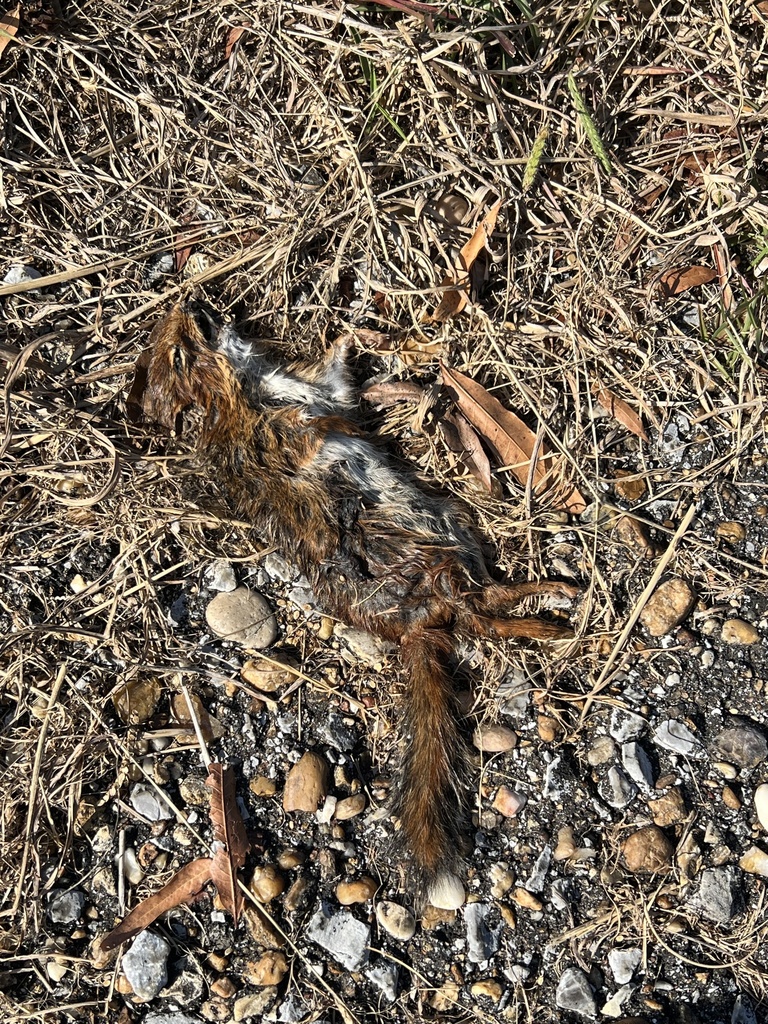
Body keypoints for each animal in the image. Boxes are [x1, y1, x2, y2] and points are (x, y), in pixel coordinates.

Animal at [142, 302, 578, 908]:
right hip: (436, 557)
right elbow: (323, 418)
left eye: (172, 335)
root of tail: (417, 625)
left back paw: (556, 600)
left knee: (483, 605)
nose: (188, 302)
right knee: (479, 611)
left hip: (453, 529)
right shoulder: (284, 421)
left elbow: (340, 381)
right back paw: (557, 615)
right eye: (180, 352)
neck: (242, 386)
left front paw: (357, 339)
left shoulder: (310, 388)